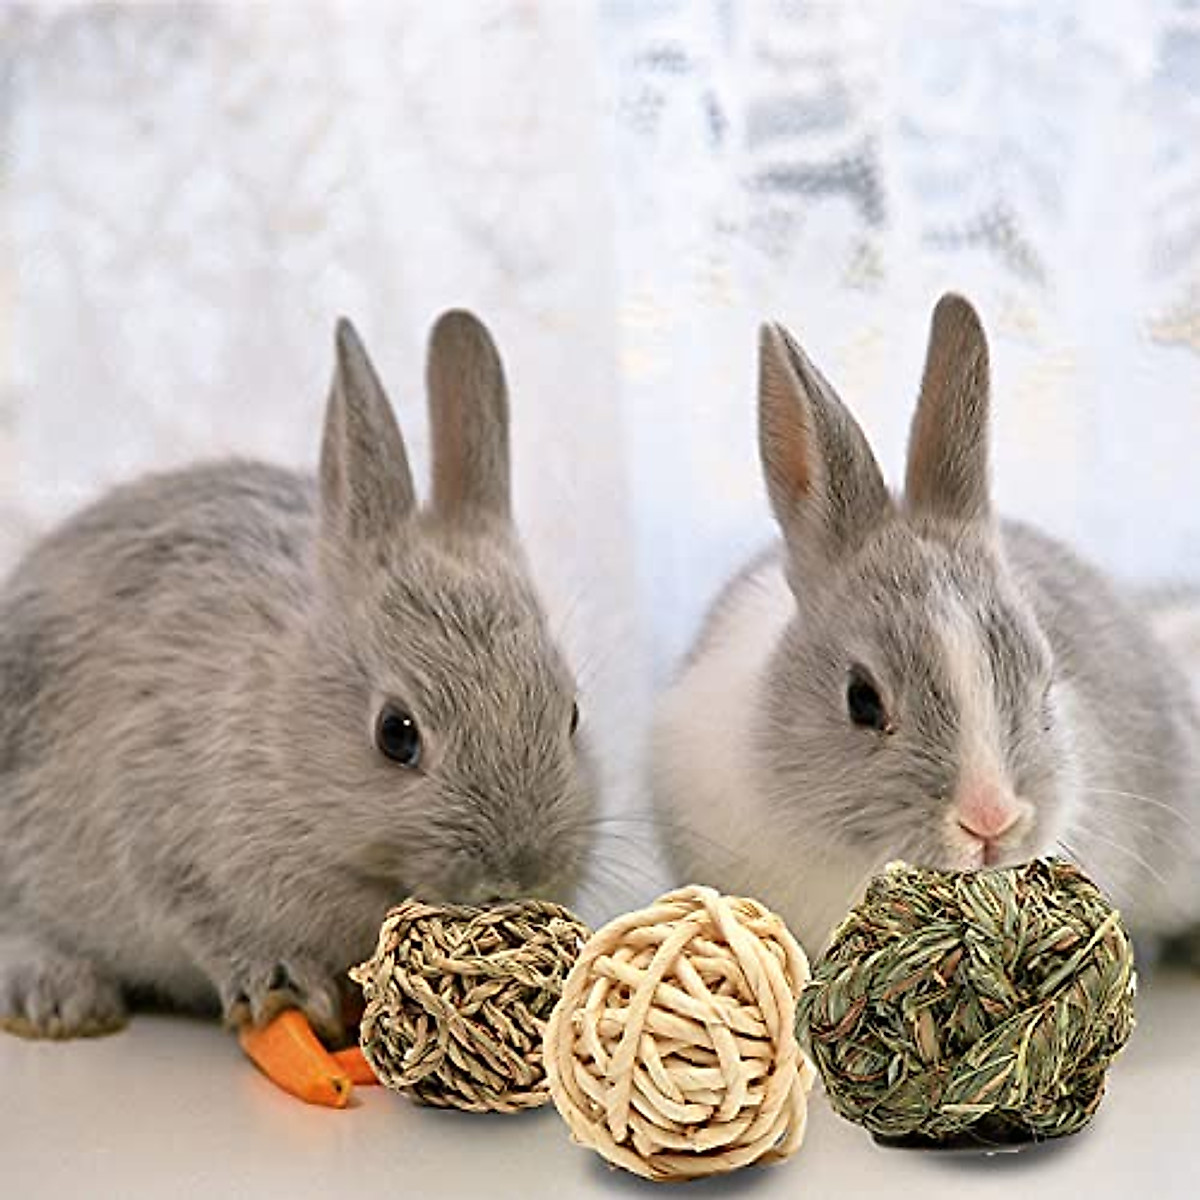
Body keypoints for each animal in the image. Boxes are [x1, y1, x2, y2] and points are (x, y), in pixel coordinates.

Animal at [0, 310, 596, 1041]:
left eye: (571, 716)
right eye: (396, 734)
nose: (513, 876)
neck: (282, 745)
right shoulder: (159, 836)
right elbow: (208, 922)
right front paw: (281, 989)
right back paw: (62, 1001)